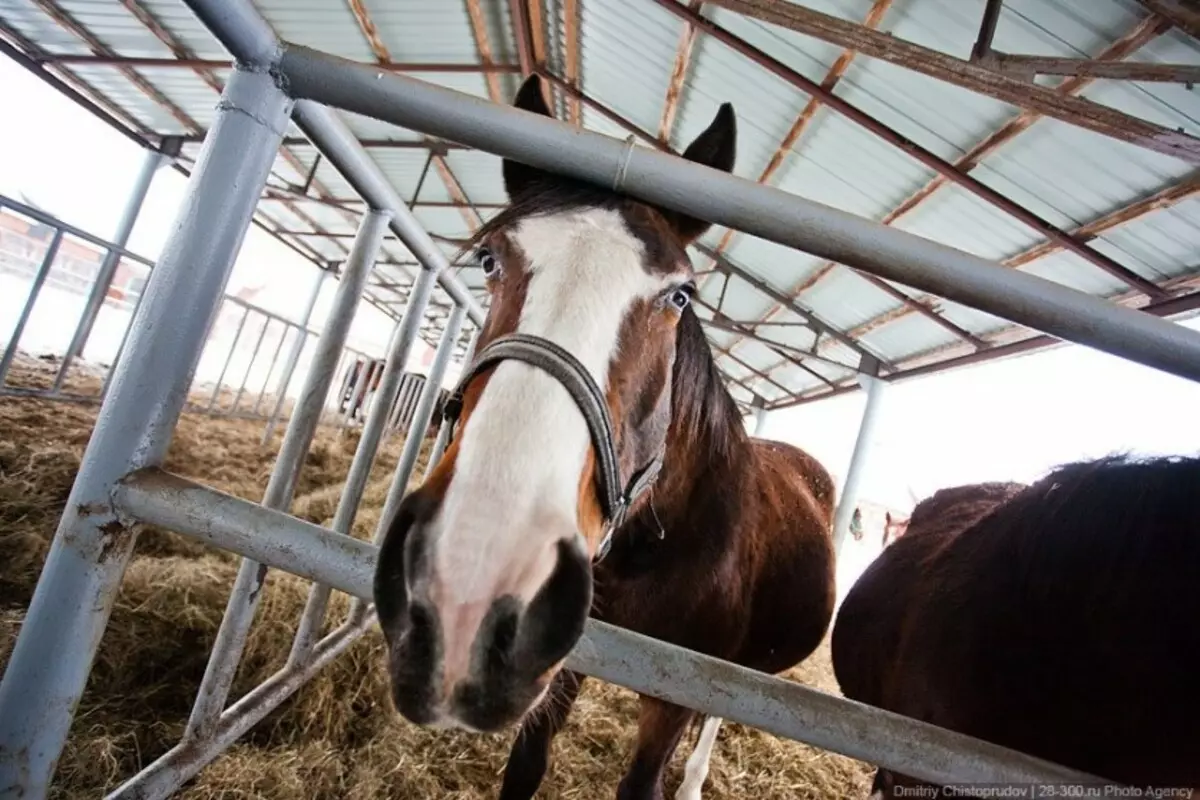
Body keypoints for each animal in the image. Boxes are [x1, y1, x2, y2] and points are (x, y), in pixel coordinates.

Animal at [372, 71, 835, 796]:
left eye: (680, 296)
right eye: (488, 260)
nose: (469, 579)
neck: (649, 544)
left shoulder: (675, 697)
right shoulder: (561, 661)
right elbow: (526, 766)